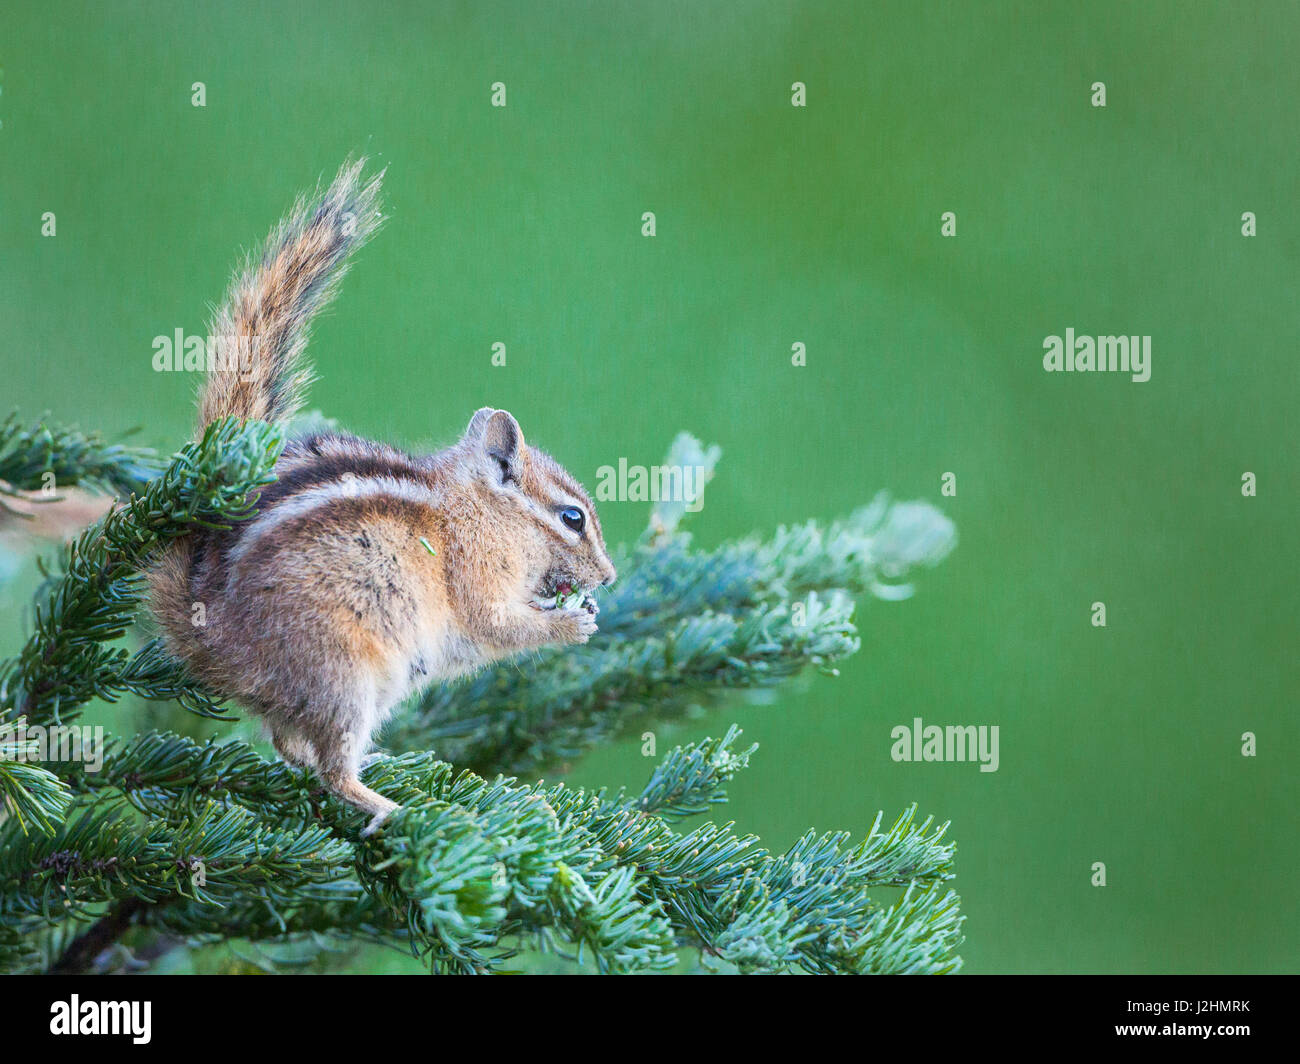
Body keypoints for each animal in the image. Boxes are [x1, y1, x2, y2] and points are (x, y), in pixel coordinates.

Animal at [149, 159, 616, 833]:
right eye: (573, 517)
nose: (608, 578)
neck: (477, 512)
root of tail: (206, 631)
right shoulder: (477, 578)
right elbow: (498, 624)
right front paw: (574, 623)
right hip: (343, 672)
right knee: (329, 768)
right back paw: (400, 809)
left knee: (291, 747)